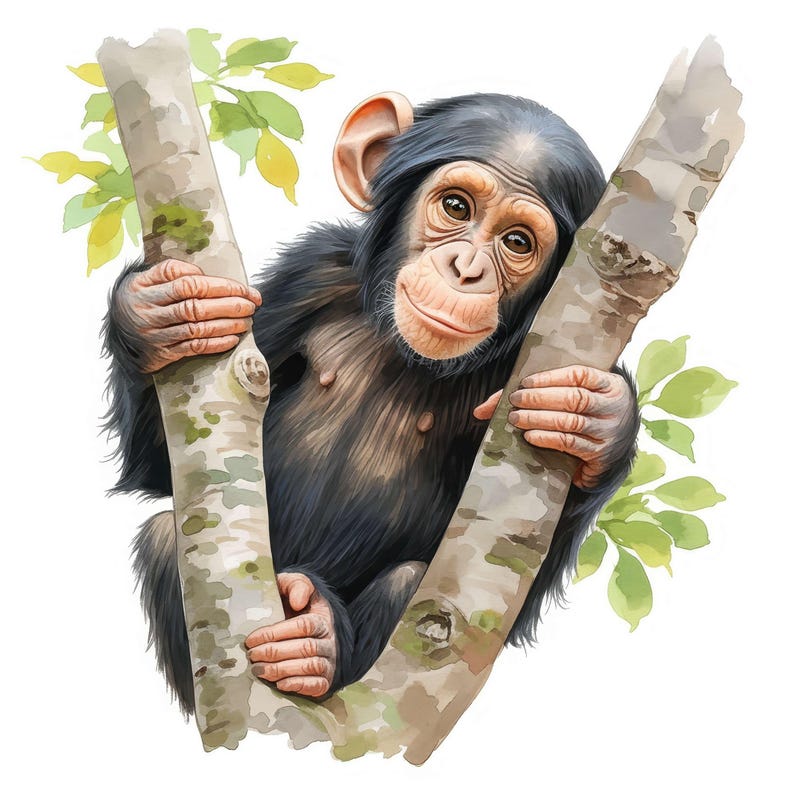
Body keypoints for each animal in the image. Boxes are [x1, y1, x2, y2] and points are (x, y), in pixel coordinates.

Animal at [103, 92, 640, 711]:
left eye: (517, 243)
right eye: (455, 207)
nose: (466, 270)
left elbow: (514, 584)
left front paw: (600, 420)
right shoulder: (309, 272)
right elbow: (160, 469)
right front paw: (152, 314)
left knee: (410, 587)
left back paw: (317, 644)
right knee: (163, 538)